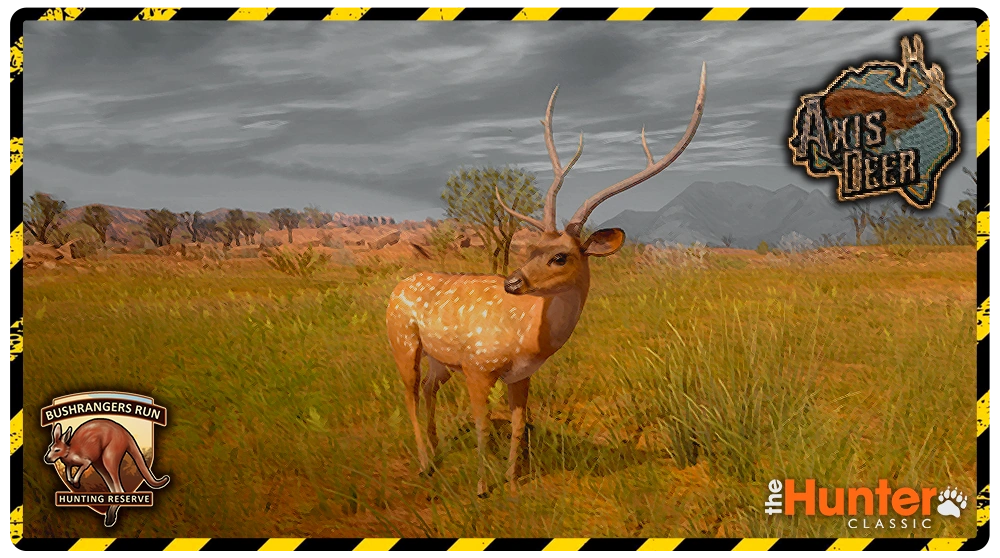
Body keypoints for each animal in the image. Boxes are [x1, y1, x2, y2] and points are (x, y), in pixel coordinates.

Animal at [386, 62, 706, 497]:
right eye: (532, 247)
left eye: (560, 256)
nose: (512, 283)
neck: (526, 337)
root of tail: (398, 286)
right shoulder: (477, 364)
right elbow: (482, 426)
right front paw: (483, 488)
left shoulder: (520, 375)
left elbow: (519, 424)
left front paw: (512, 481)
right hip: (403, 341)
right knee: (409, 393)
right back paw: (424, 464)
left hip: (440, 357)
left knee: (427, 389)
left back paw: (436, 451)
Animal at [823, 34, 955, 149]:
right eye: (935, 91)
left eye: (943, 89)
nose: (950, 102)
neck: (907, 111)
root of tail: (825, 101)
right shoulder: (885, 129)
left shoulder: (896, 134)